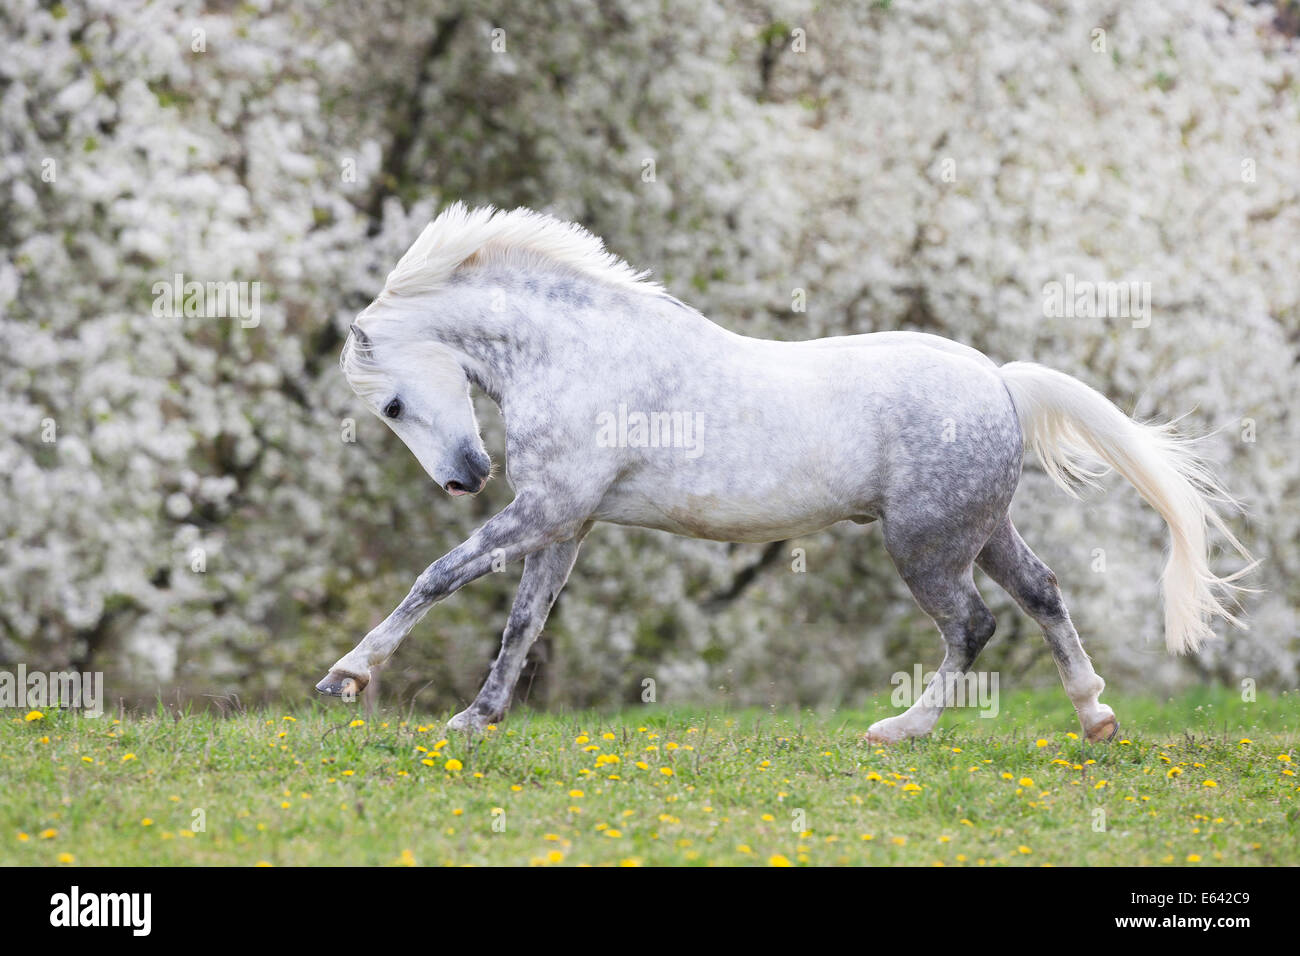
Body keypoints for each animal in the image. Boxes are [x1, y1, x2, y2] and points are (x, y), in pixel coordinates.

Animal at [317, 202, 1252, 742]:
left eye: (389, 405)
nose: (467, 477)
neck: (578, 353)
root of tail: (999, 380)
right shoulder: (565, 522)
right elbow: (522, 623)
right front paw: (477, 718)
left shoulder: (545, 508)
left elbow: (438, 576)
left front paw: (347, 678)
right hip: (979, 532)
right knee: (1044, 595)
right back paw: (1094, 716)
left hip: (925, 545)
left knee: (974, 626)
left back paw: (900, 730)